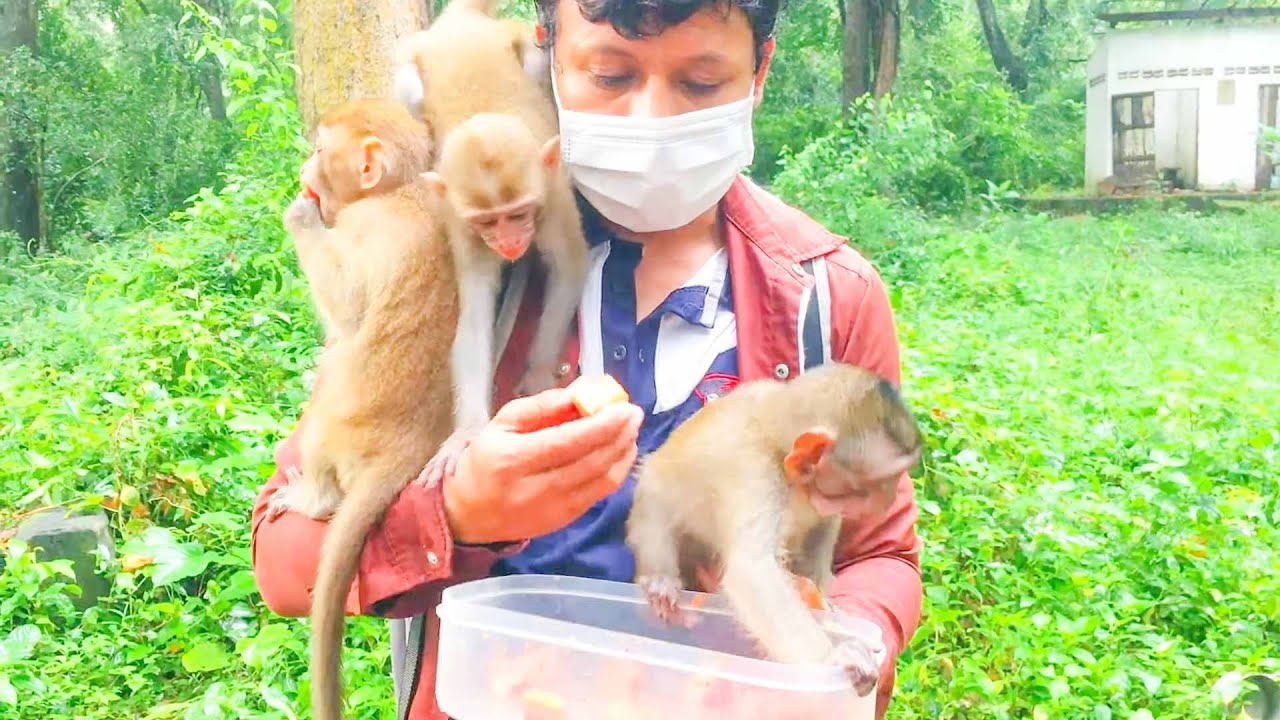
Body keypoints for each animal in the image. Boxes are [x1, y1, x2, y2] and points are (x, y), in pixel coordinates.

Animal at [267, 99, 459, 720]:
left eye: (322, 151)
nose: (305, 169)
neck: (400, 188)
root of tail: (404, 450)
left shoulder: (365, 228)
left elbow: (347, 309)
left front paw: (301, 215)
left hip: (341, 431)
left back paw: (316, 498)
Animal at [393, 0, 589, 488]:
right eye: (488, 221)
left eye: (518, 214)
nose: (511, 241)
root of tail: (461, 21)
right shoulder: (460, 223)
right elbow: (474, 312)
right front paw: (467, 432)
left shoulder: (552, 196)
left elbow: (569, 266)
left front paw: (537, 374)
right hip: (411, 77)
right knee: (408, 90)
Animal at [624, 362, 924, 697]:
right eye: (878, 483)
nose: (891, 497)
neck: (779, 445)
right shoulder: (755, 471)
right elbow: (752, 573)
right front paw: (834, 657)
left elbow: (823, 532)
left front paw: (828, 609)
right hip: (653, 493)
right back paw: (661, 581)